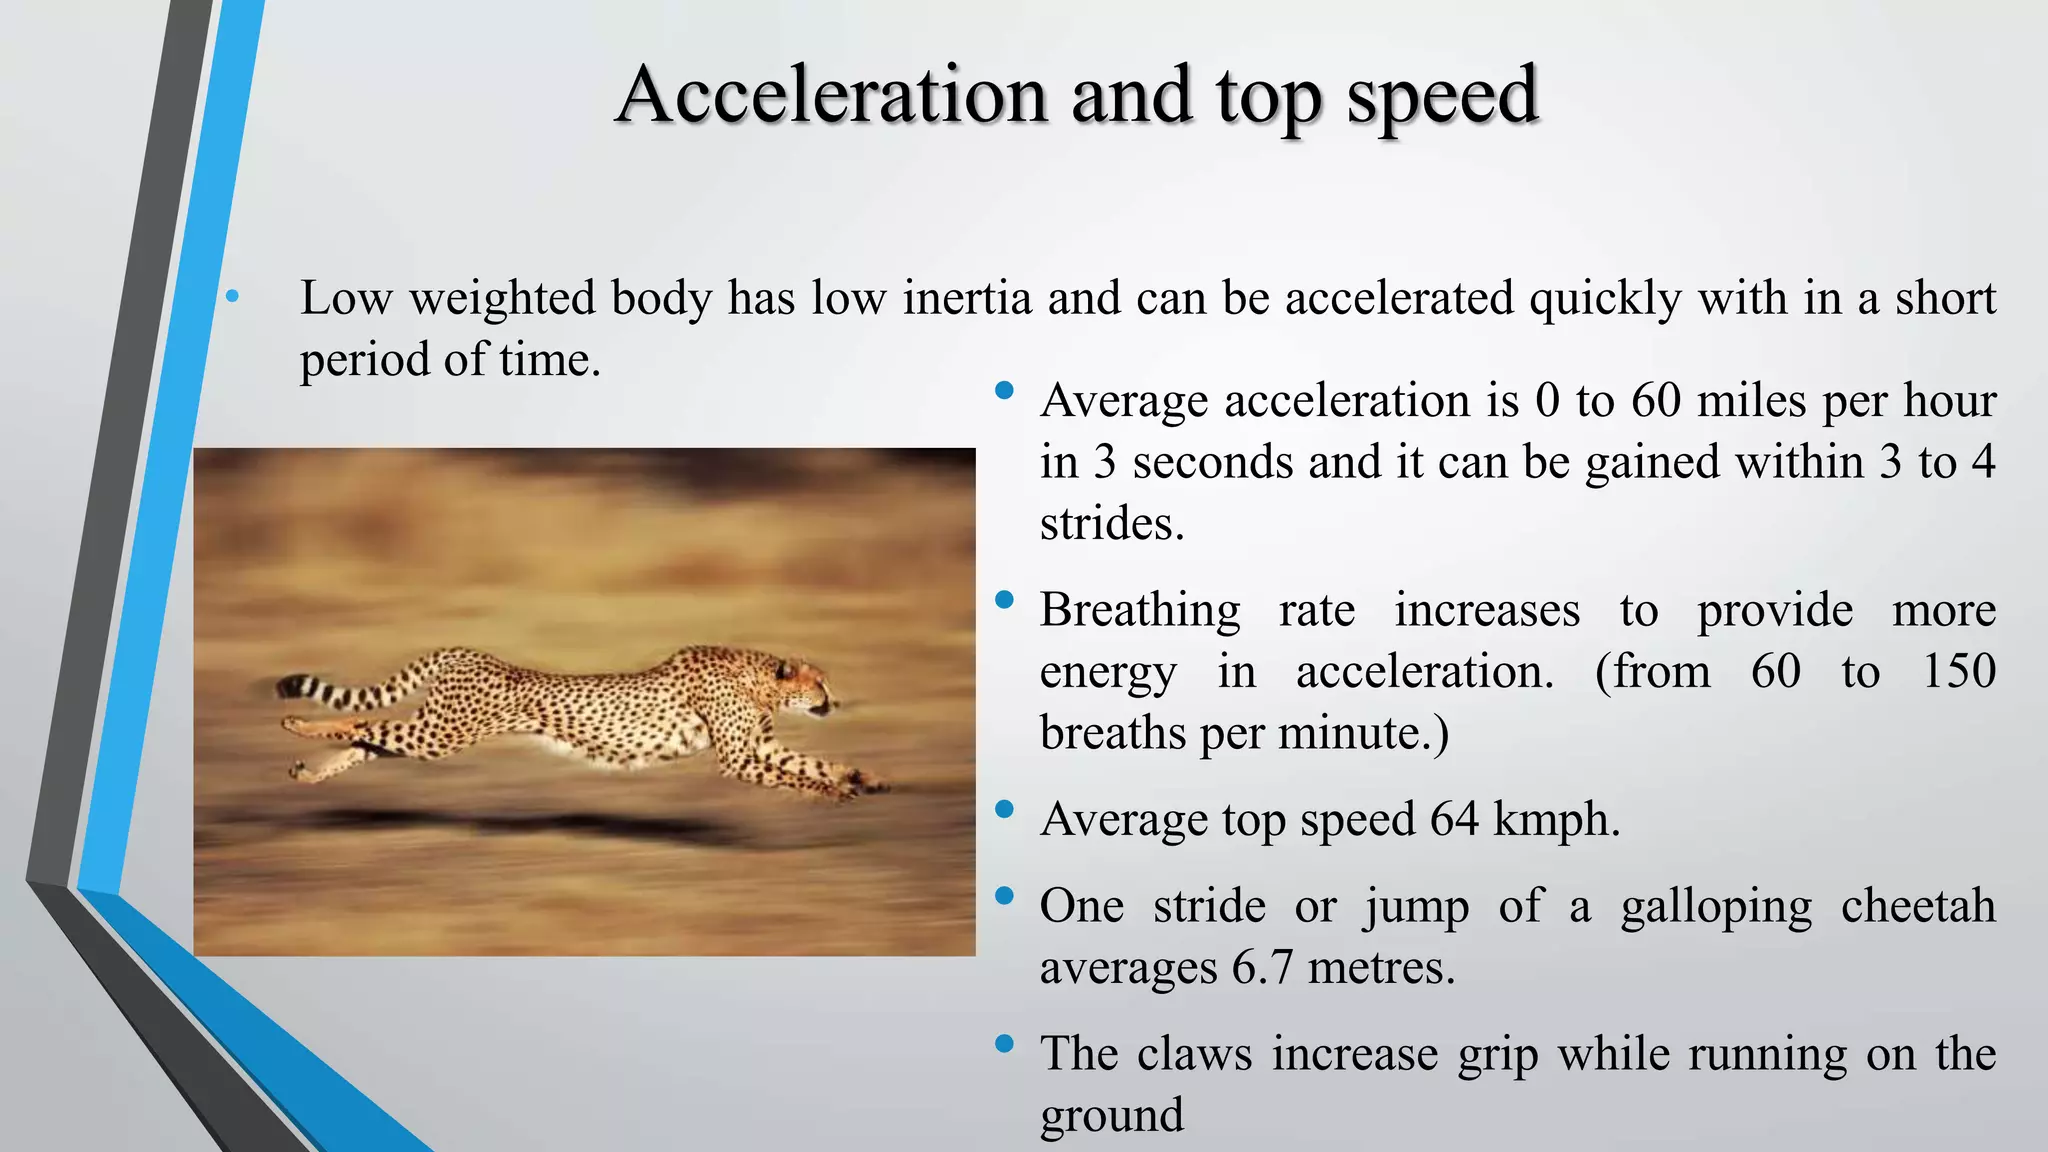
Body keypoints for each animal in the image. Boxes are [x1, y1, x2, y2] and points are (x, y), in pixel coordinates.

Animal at [272, 645, 887, 800]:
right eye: (820, 683)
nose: (835, 701)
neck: (758, 678)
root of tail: (464, 651)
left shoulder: (759, 745)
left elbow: (811, 761)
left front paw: (863, 777)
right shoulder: (737, 759)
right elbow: (794, 775)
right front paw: (832, 792)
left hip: (434, 732)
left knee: (367, 739)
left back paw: (306, 770)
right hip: (443, 733)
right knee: (364, 720)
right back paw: (295, 724)